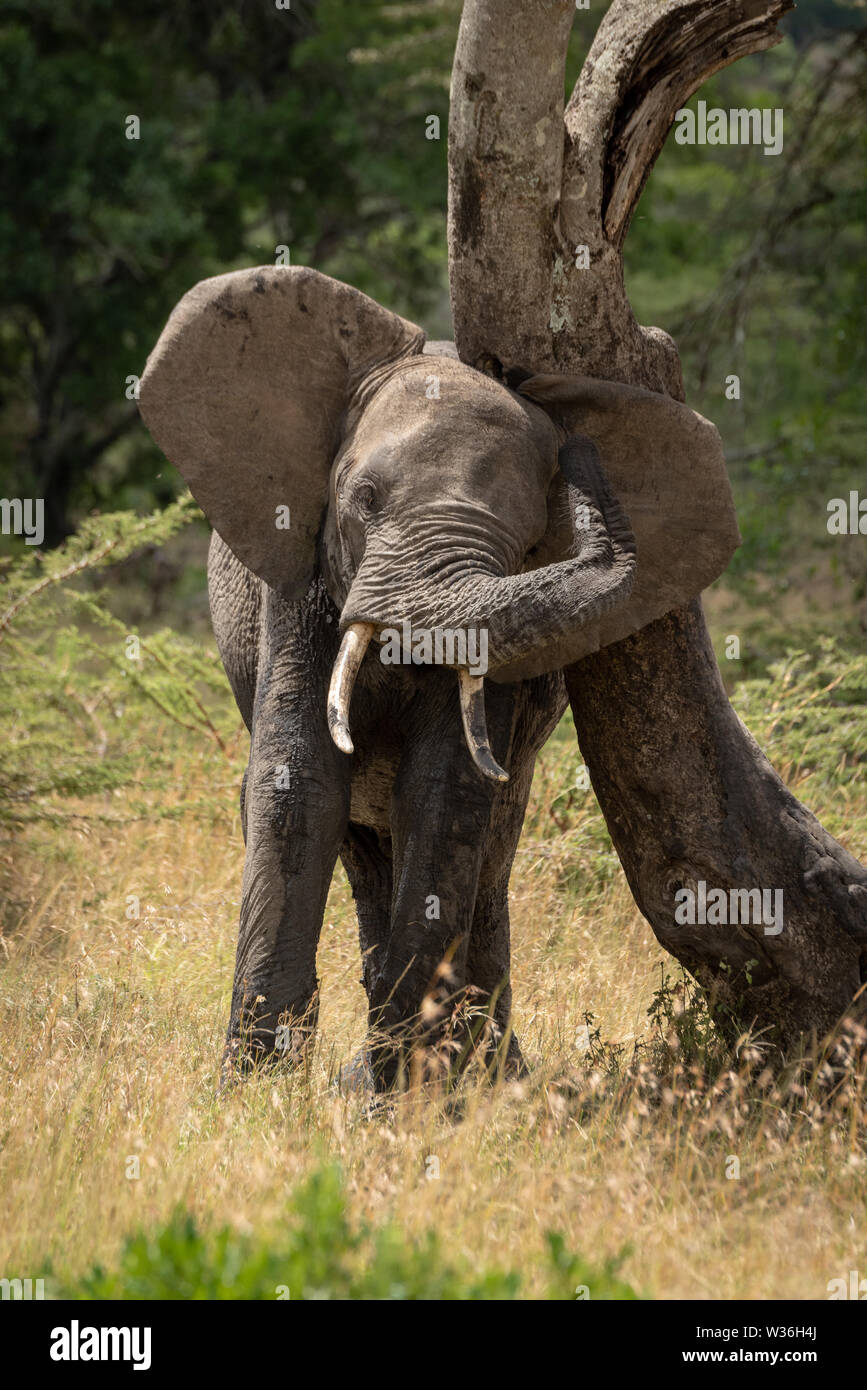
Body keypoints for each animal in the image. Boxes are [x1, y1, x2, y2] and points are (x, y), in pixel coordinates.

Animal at [139, 264, 739, 1087]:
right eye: (362, 500)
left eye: (530, 543)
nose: (581, 456)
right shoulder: (298, 574)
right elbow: (298, 784)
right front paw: (256, 1091)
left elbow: (444, 797)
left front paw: (393, 1097)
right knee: (364, 852)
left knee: (489, 854)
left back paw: (488, 1075)